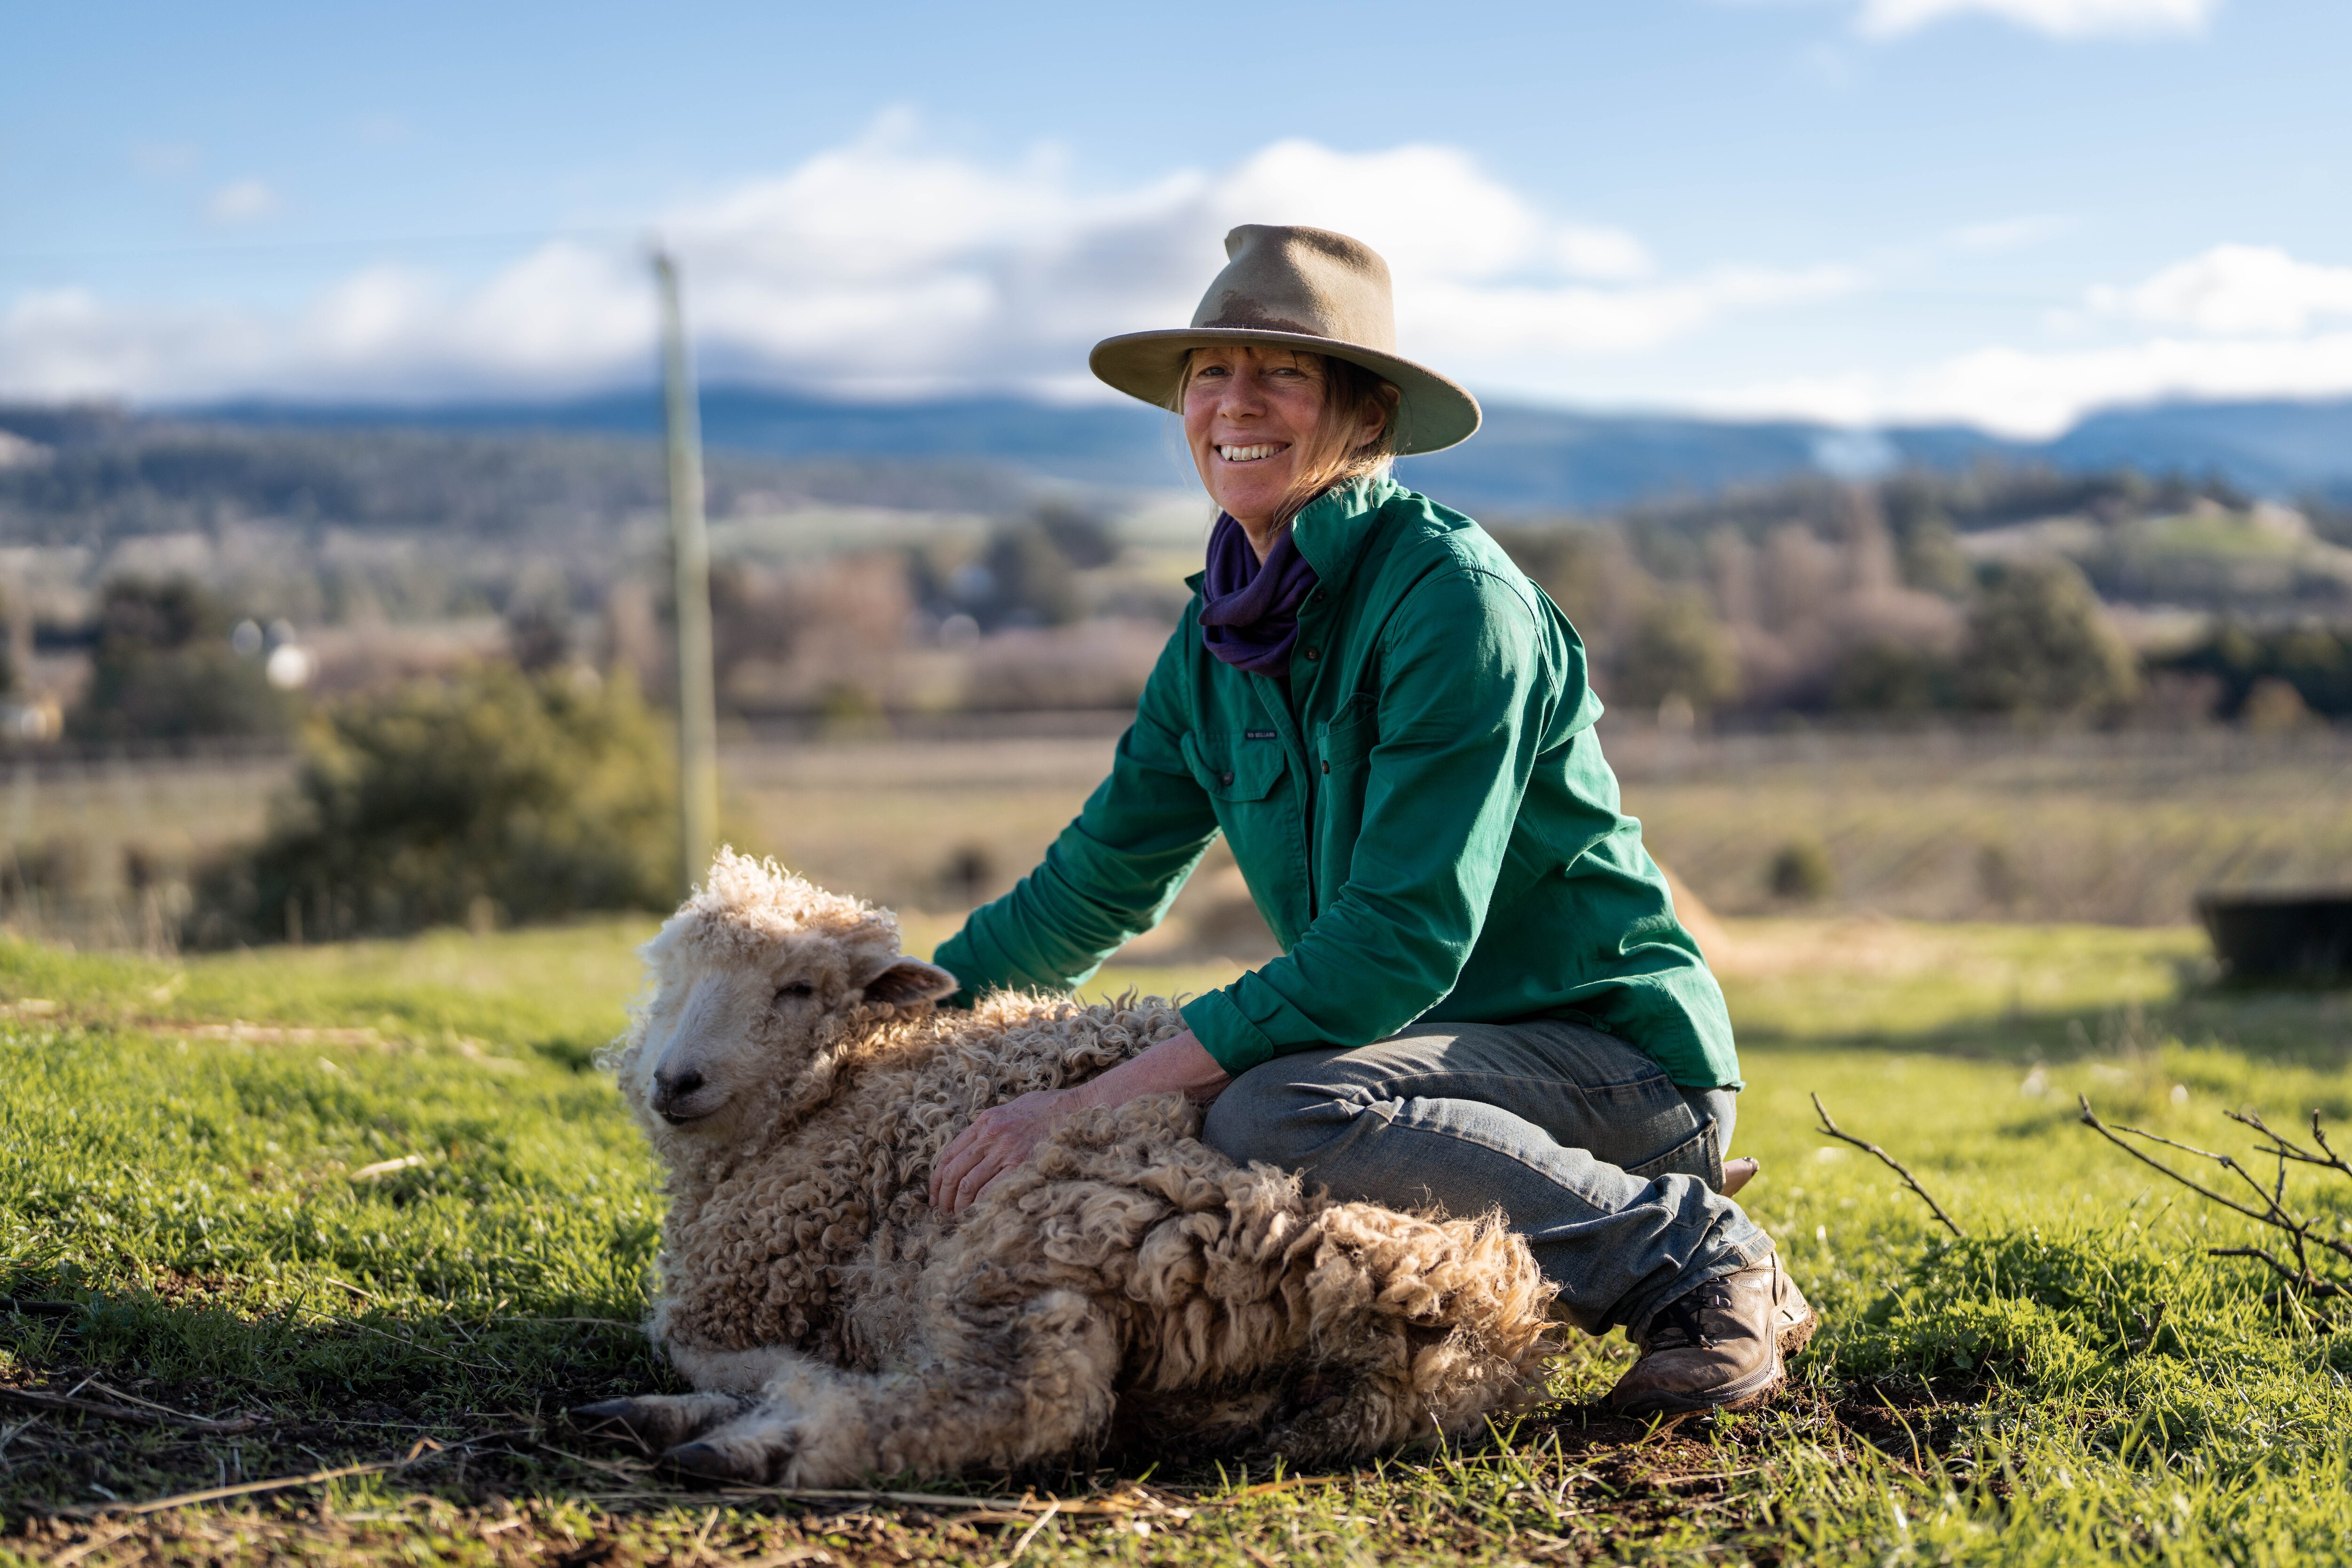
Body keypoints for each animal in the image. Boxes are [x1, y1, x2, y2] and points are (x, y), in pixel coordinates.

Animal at [578, 850, 1560, 1486]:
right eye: (672, 975)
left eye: (799, 987)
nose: (675, 1079)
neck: (850, 1076)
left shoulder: (740, 1288)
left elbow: (708, 1348)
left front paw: (763, 1392)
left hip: (1036, 1241)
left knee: (1019, 1404)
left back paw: (766, 1442)